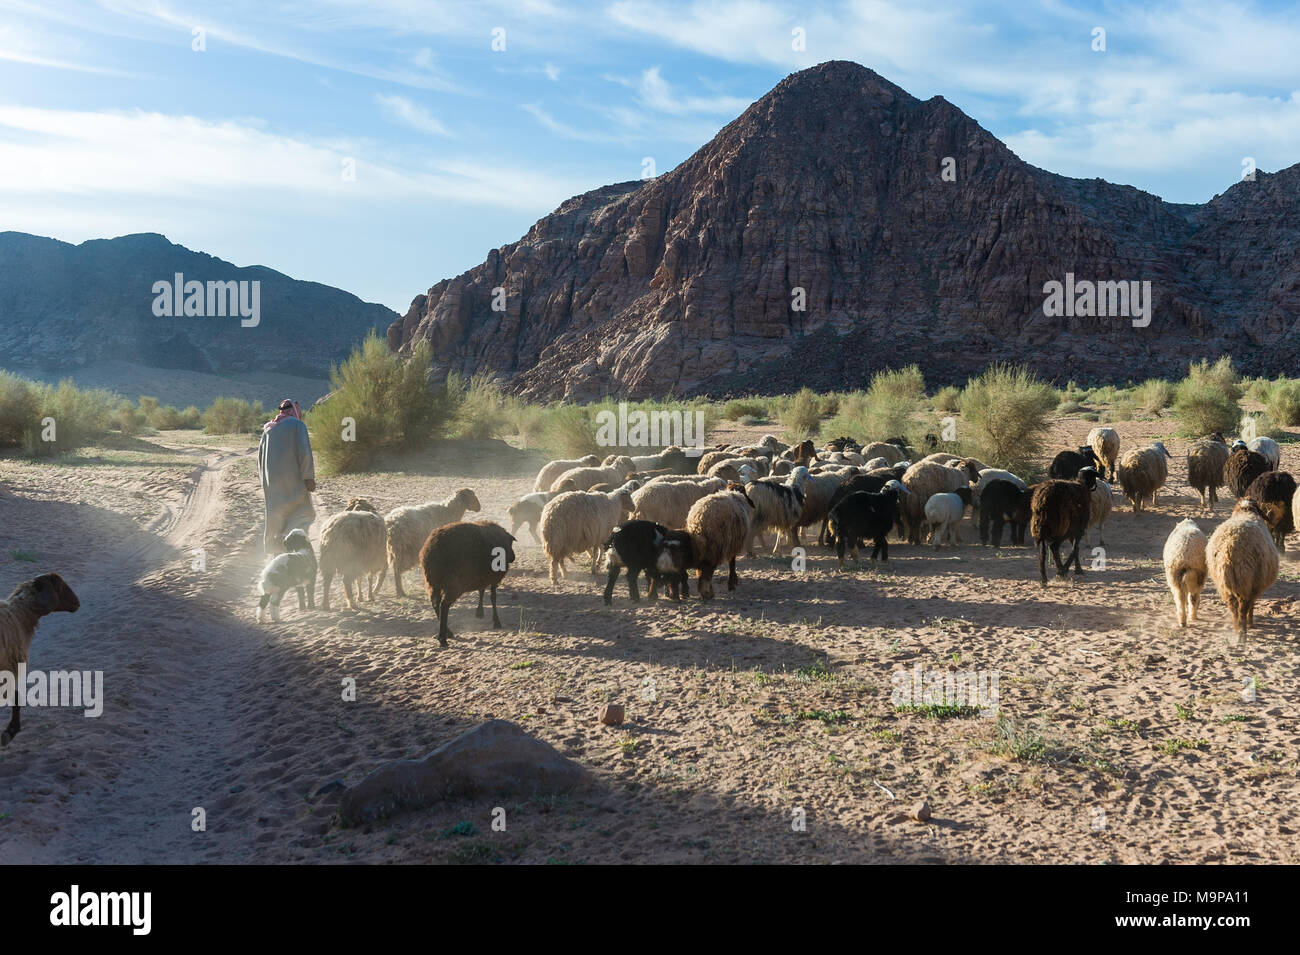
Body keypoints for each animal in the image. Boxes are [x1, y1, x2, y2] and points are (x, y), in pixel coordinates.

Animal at [0, 573, 80, 746]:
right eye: (61, 586)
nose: (78, 602)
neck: (19, 613)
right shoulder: (7, 668)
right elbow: (16, 697)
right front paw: (11, 731)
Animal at [1207, 500, 1279, 637]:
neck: (1246, 511)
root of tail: (1230, 548)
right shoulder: (1255, 586)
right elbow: (1252, 605)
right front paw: (1251, 623)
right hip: (1246, 581)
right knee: (1244, 606)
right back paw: (1243, 630)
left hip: (1225, 584)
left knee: (1233, 607)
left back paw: (1237, 628)